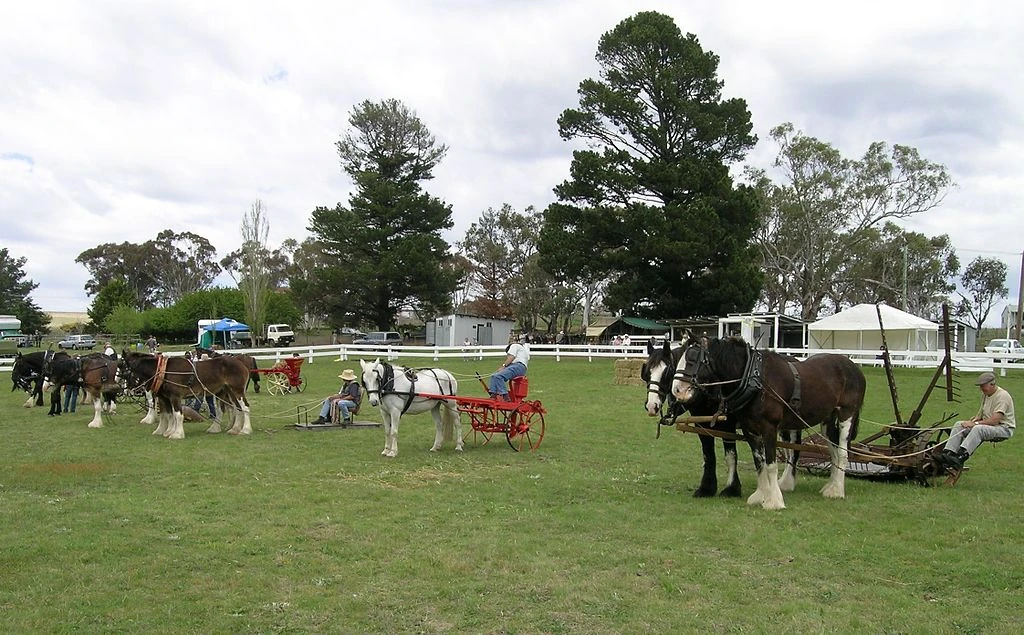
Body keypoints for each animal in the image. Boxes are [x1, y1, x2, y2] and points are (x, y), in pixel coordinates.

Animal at [119, 351, 253, 439]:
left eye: (122, 367)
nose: (125, 390)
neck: (163, 371)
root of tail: (241, 362)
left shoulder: (175, 396)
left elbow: (177, 415)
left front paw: (176, 434)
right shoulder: (164, 398)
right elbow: (167, 415)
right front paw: (165, 431)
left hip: (237, 391)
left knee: (244, 407)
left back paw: (245, 430)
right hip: (226, 392)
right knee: (235, 409)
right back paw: (230, 429)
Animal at [641, 338, 741, 497]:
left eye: (666, 372)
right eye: (646, 373)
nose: (652, 406)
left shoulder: (728, 425)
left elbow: (731, 456)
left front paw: (732, 488)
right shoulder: (701, 423)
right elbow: (708, 455)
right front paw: (706, 488)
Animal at [672, 335, 866, 510]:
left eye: (692, 359)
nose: (677, 390)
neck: (754, 379)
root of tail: (853, 367)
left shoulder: (769, 428)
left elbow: (771, 464)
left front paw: (774, 501)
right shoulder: (750, 430)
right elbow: (759, 463)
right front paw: (760, 496)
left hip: (846, 415)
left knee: (842, 452)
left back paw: (837, 490)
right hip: (827, 420)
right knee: (833, 451)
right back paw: (831, 486)